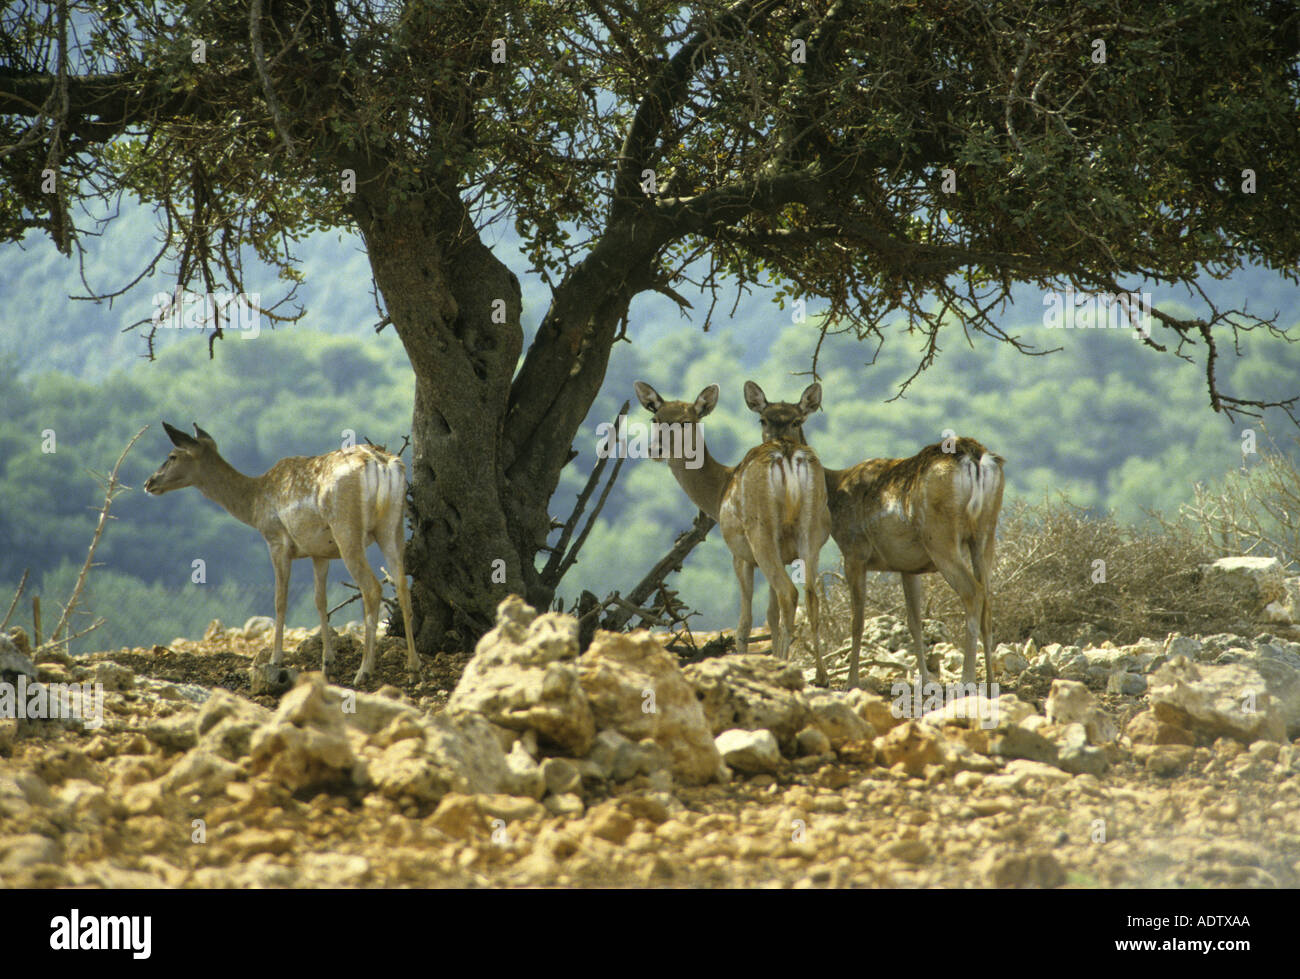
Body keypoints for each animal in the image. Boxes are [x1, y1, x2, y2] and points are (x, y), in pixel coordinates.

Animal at [144, 422, 419, 686]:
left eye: (172, 456)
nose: (149, 483)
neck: (254, 504)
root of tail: (382, 464)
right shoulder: (319, 552)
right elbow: (320, 601)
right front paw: (327, 662)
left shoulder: (276, 540)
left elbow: (280, 600)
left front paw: (275, 660)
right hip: (392, 524)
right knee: (402, 585)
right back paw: (413, 667)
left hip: (346, 527)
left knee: (372, 587)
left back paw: (364, 671)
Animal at [632, 382, 833, 684]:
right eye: (655, 418)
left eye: (686, 422)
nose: (654, 449)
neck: (719, 490)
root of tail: (787, 455)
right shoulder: (784, 552)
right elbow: (771, 614)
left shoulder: (740, 554)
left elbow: (745, 623)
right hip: (812, 531)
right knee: (810, 595)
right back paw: (820, 676)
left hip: (759, 530)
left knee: (788, 592)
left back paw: (787, 670)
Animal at [743, 381, 1005, 689]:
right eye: (763, 419)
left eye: (797, 421)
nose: (778, 442)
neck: (835, 490)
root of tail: (975, 456)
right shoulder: (908, 566)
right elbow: (914, 621)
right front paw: (923, 679)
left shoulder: (854, 552)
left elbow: (857, 621)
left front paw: (851, 680)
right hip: (986, 531)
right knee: (988, 598)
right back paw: (990, 682)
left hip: (941, 537)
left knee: (972, 592)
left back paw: (967, 680)